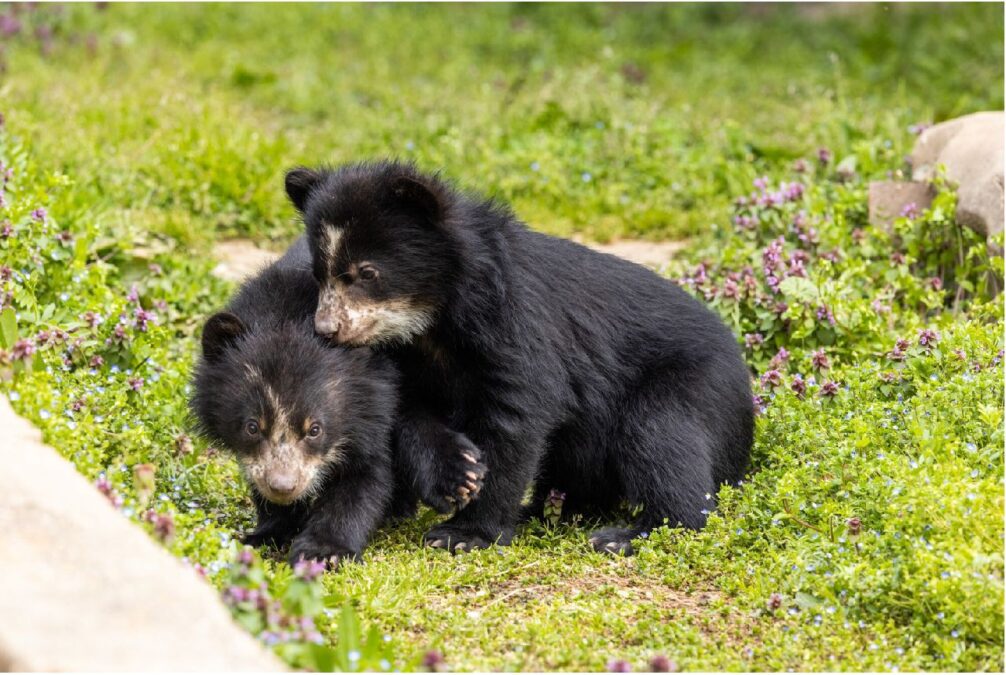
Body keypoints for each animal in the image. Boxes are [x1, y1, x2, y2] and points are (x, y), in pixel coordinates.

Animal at [190, 236, 486, 565]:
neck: (288, 316)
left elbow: (364, 477)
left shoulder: (371, 405)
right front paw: (266, 533)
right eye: (252, 426)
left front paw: (324, 552)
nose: (283, 486)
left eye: (315, 429)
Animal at [284, 160, 755, 555]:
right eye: (320, 274)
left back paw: (626, 534)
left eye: (367, 272)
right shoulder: (404, 356)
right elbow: (406, 408)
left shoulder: (513, 322)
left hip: (692, 385)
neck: (434, 321)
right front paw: (456, 476)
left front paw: (463, 532)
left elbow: (517, 414)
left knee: (663, 440)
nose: (327, 329)